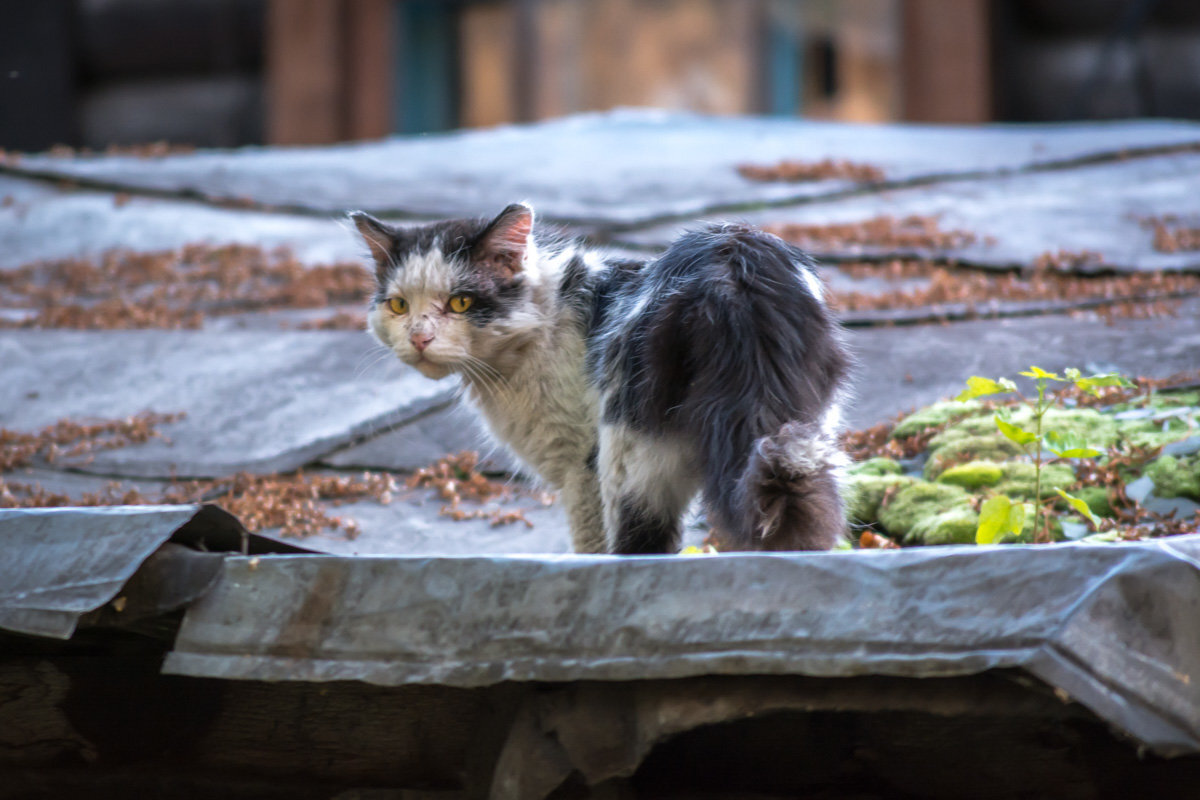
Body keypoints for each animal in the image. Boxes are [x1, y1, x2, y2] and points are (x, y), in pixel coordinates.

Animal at [350, 206, 849, 554]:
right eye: (398, 306)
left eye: (461, 303)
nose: (419, 338)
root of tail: (735, 263)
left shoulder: (579, 468)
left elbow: (588, 542)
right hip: (802, 430)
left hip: (627, 450)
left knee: (640, 541)